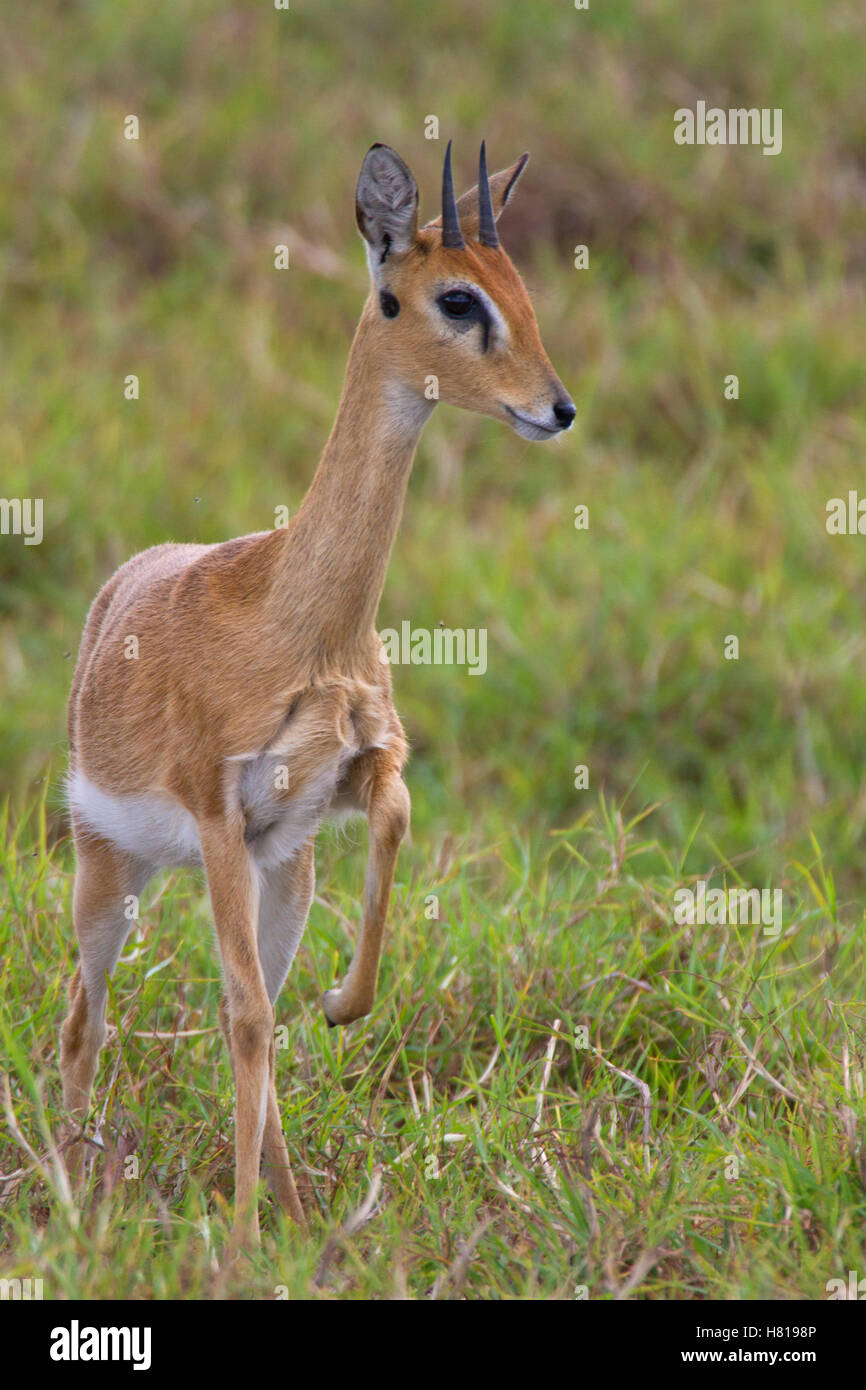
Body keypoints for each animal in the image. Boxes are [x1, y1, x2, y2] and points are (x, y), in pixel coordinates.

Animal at [60, 141, 574, 1244]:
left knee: (241, 1007)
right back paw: (77, 1196)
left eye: (520, 286)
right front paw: (242, 1241)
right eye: (455, 297)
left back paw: (291, 1207)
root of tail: (116, 593)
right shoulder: (217, 819)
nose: (555, 408)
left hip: (280, 877)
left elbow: (391, 833)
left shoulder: (346, 784)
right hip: (109, 873)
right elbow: (246, 1013)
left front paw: (344, 1003)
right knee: (93, 1017)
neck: (294, 618)